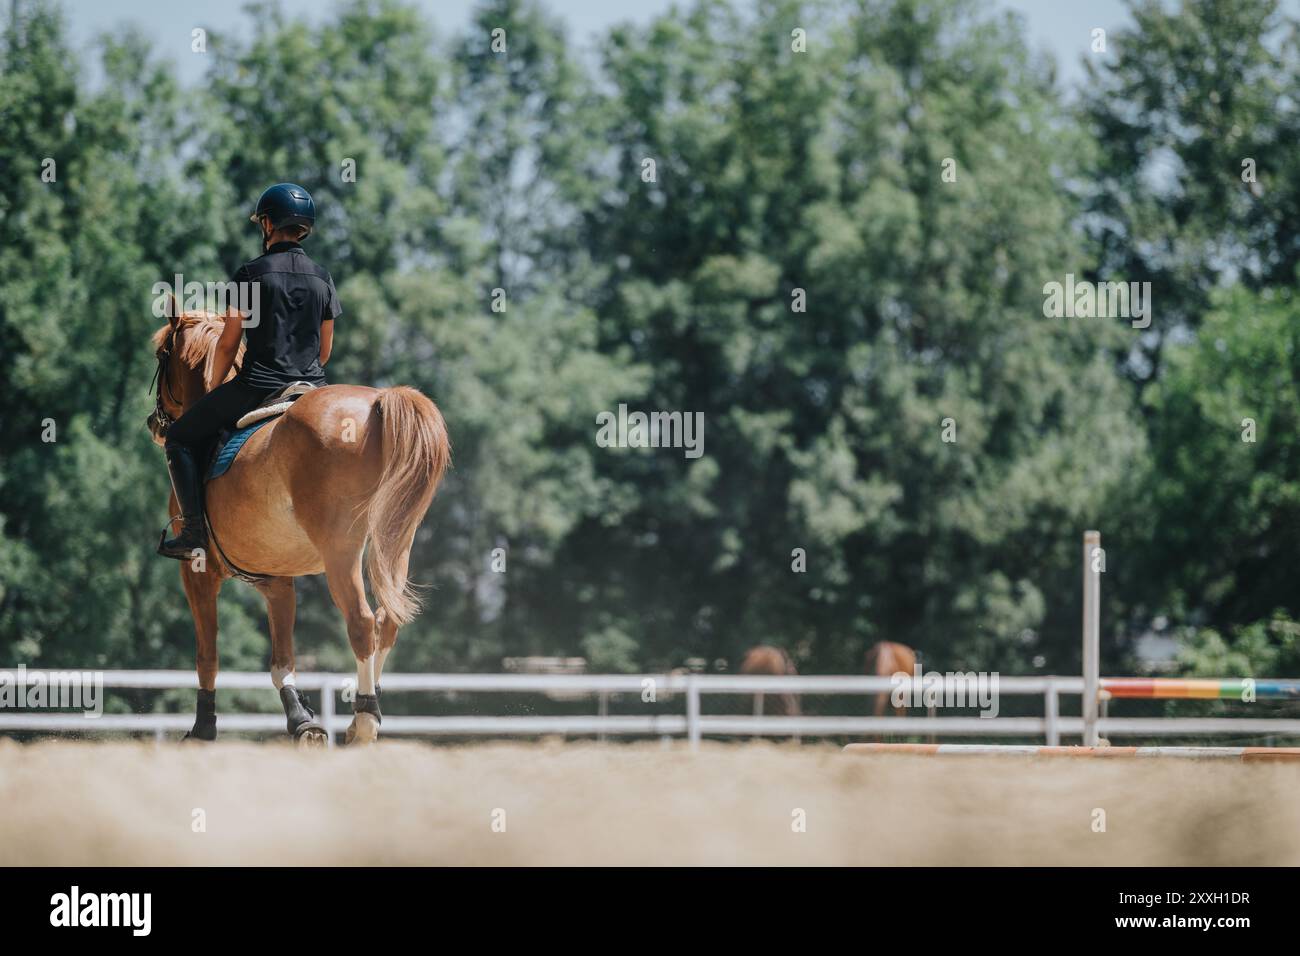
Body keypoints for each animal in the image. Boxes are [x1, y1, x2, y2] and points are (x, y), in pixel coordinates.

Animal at [147, 307, 450, 746]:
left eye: (161, 356)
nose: (155, 424)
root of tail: (378, 401)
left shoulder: (198, 572)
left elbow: (208, 656)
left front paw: (203, 729)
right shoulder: (277, 580)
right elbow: (282, 660)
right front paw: (302, 719)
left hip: (341, 550)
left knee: (362, 622)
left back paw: (363, 720)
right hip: (397, 542)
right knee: (386, 621)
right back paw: (367, 712)